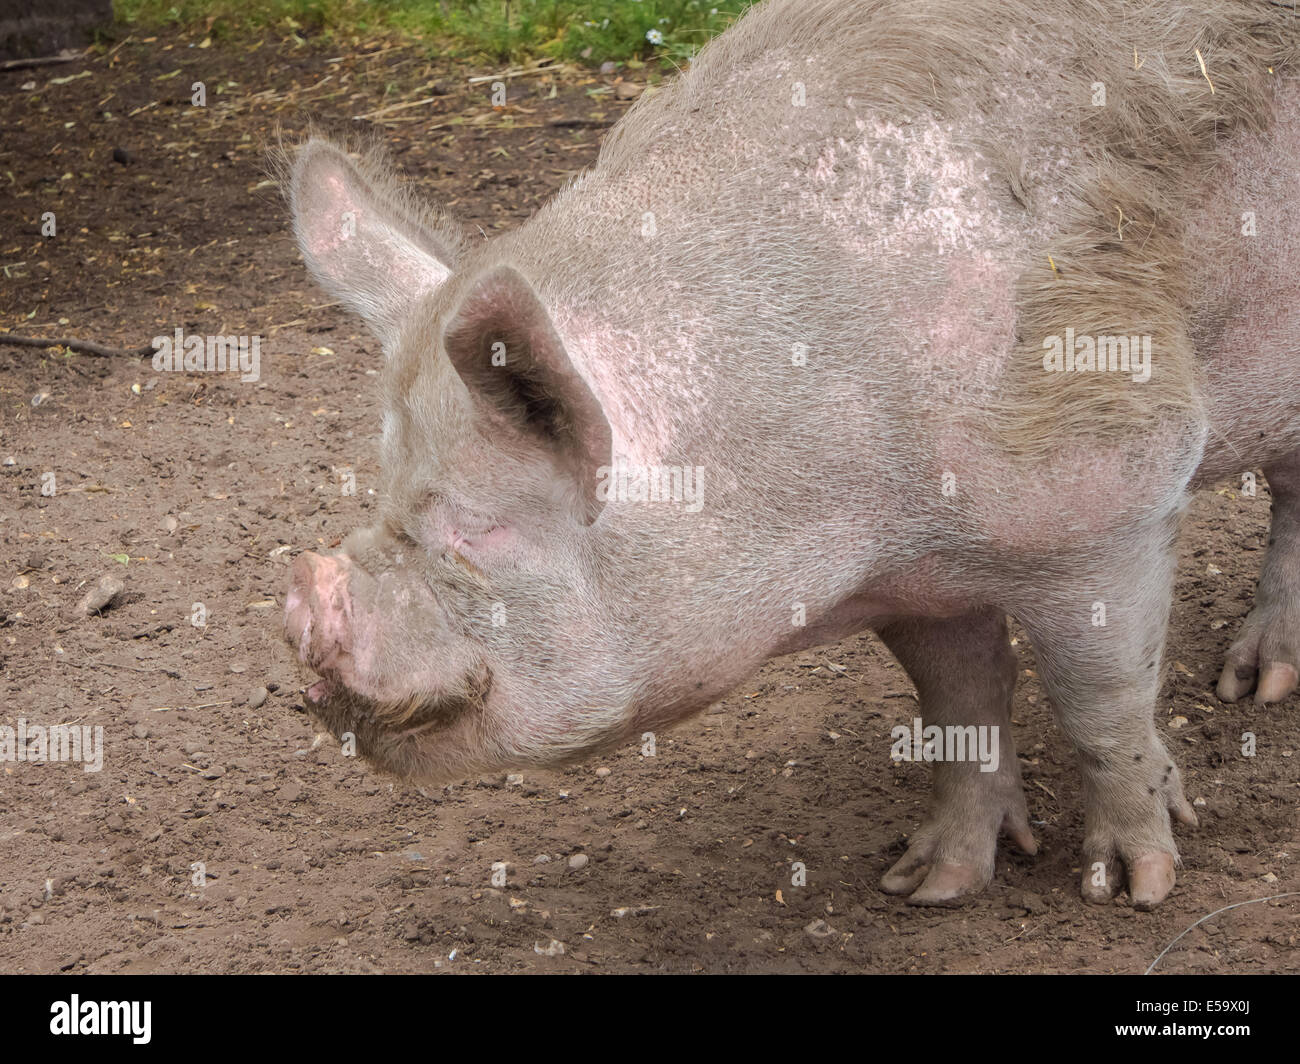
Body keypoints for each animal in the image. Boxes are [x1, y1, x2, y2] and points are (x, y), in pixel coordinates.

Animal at [282, 0, 1300, 910]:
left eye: (483, 529)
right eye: (387, 495)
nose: (302, 600)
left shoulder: (1110, 489)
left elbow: (1104, 708)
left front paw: (1134, 889)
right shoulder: (914, 579)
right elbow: (960, 702)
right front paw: (927, 887)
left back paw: (1253, 694)